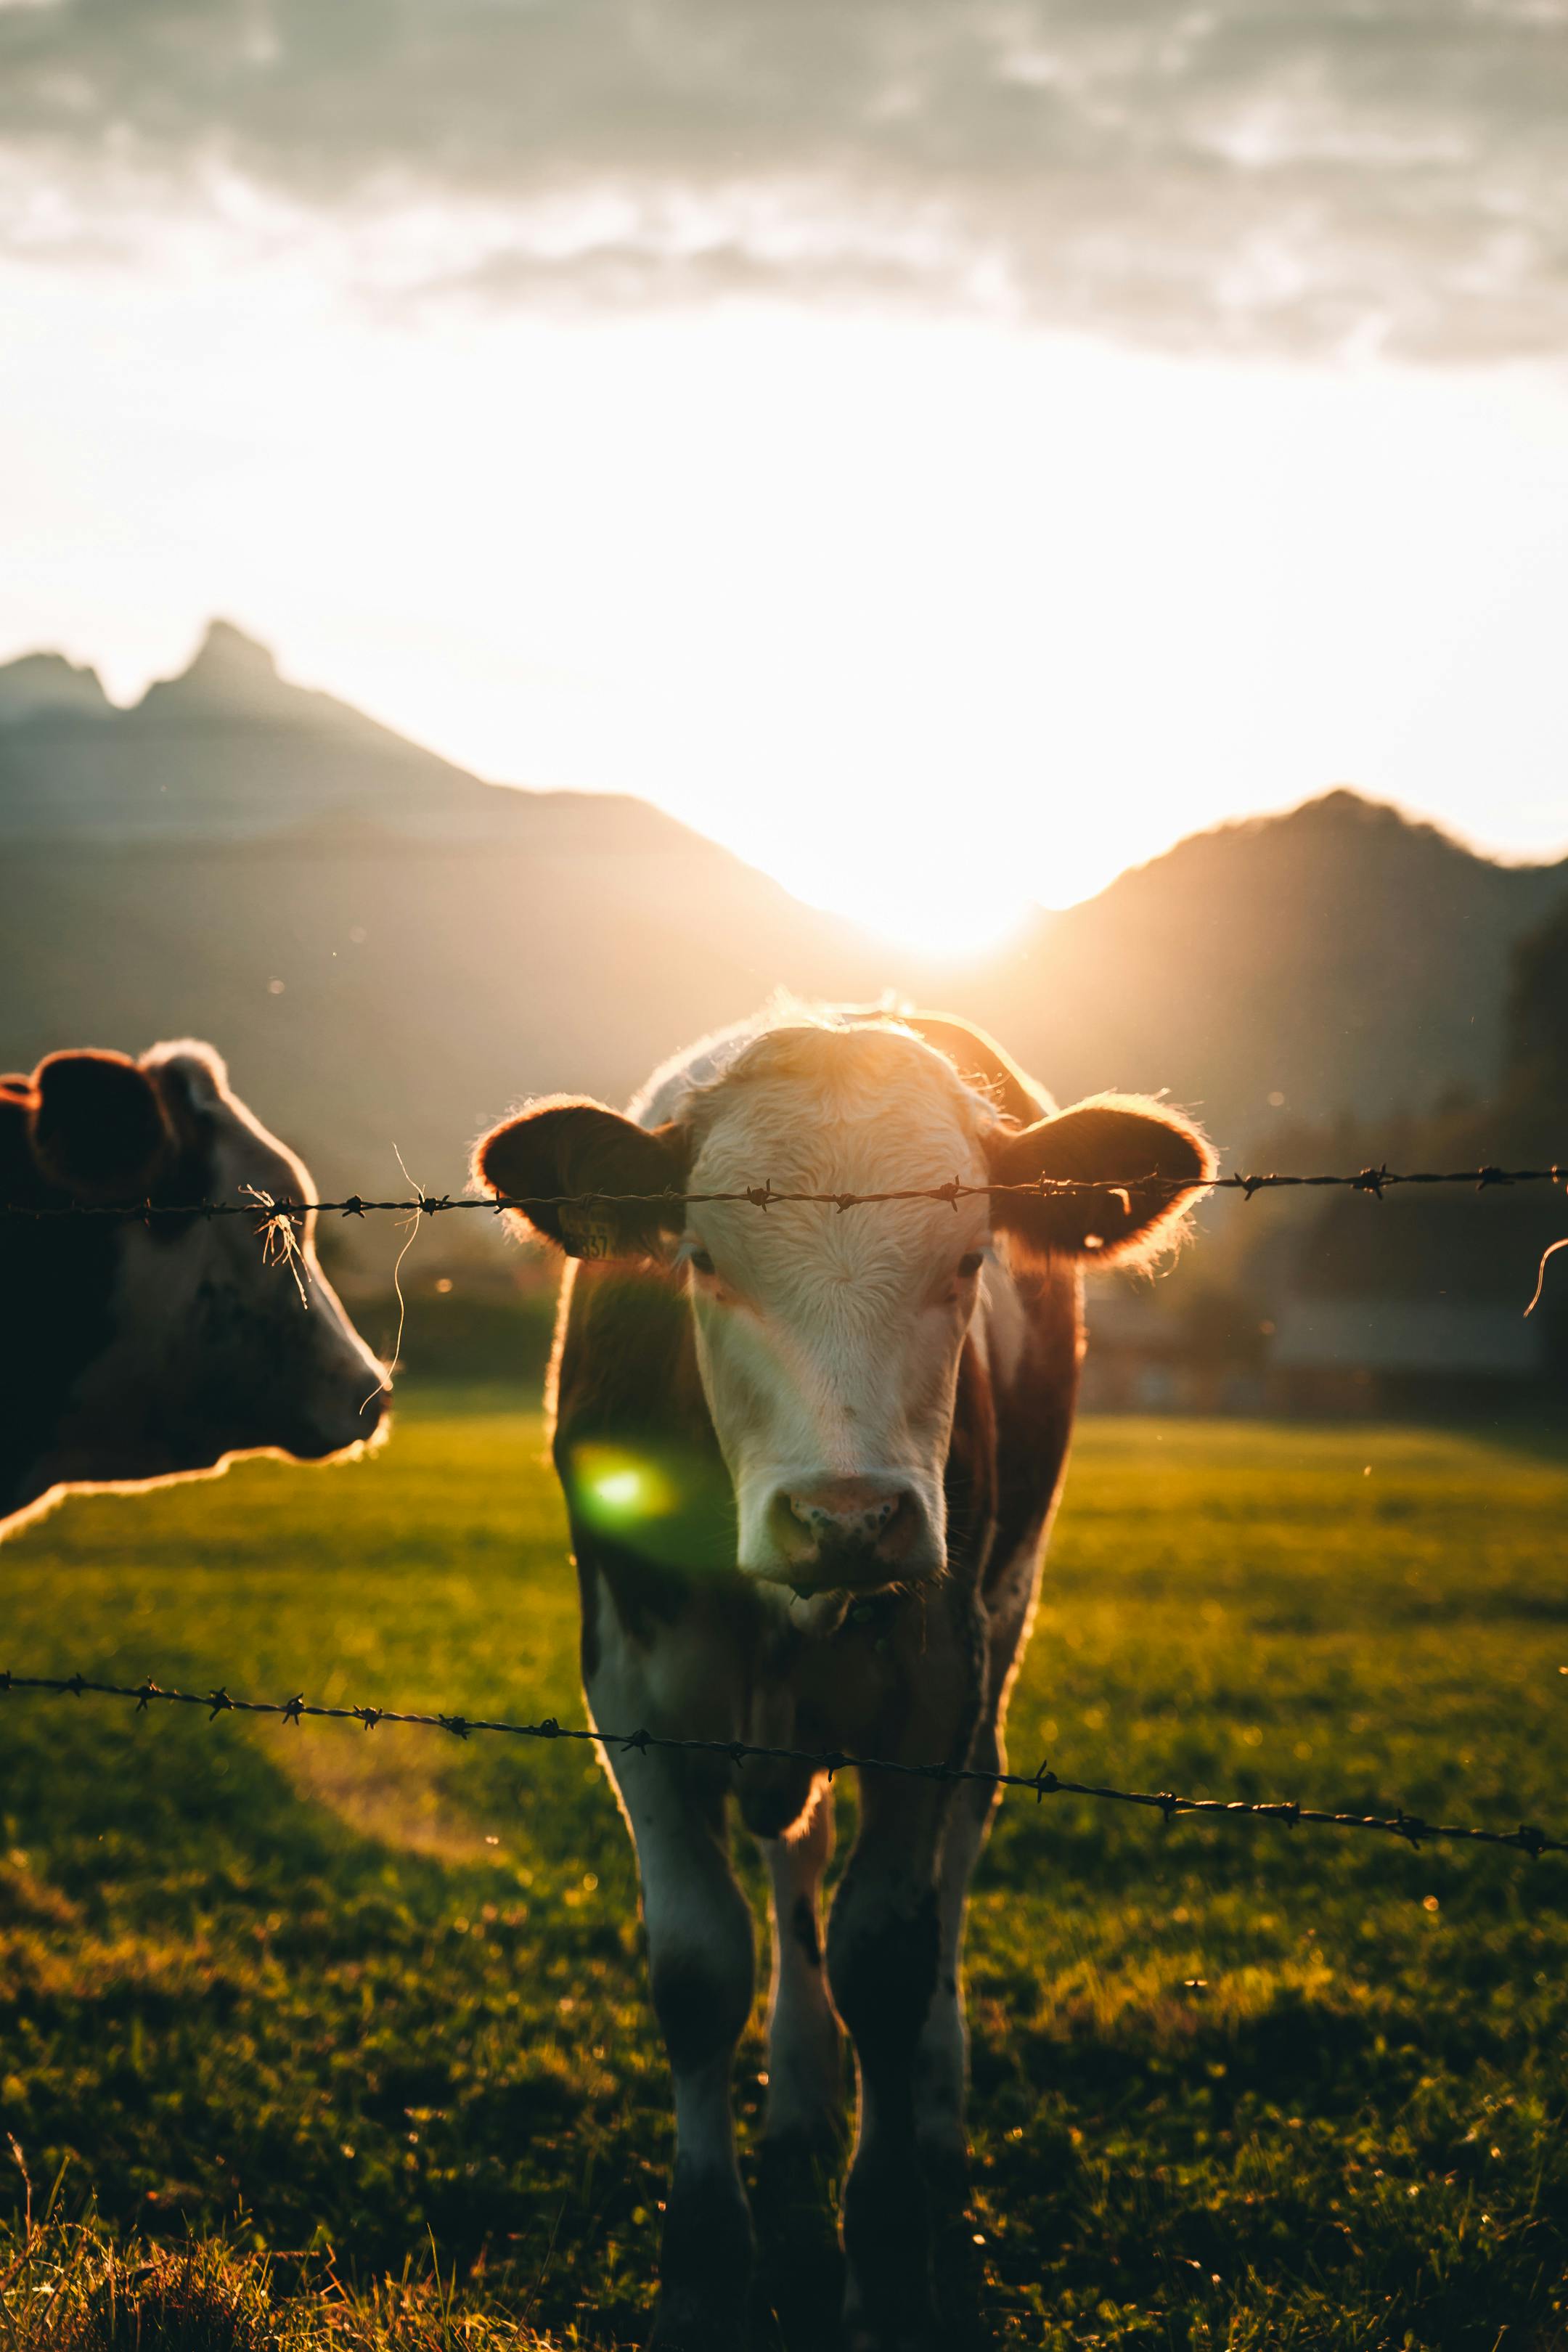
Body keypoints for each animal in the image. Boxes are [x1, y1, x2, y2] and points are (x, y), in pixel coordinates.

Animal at [475, 1007, 1212, 2352]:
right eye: (704, 1259)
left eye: (970, 1258)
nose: (849, 1518)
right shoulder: (636, 1701)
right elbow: (699, 1968)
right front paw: (704, 2264)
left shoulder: (932, 1691)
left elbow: (888, 1956)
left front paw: (886, 2256)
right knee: (795, 1858)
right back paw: (803, 2093)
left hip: (1001, 1626)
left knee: (959, 1849)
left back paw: (931, 2099)